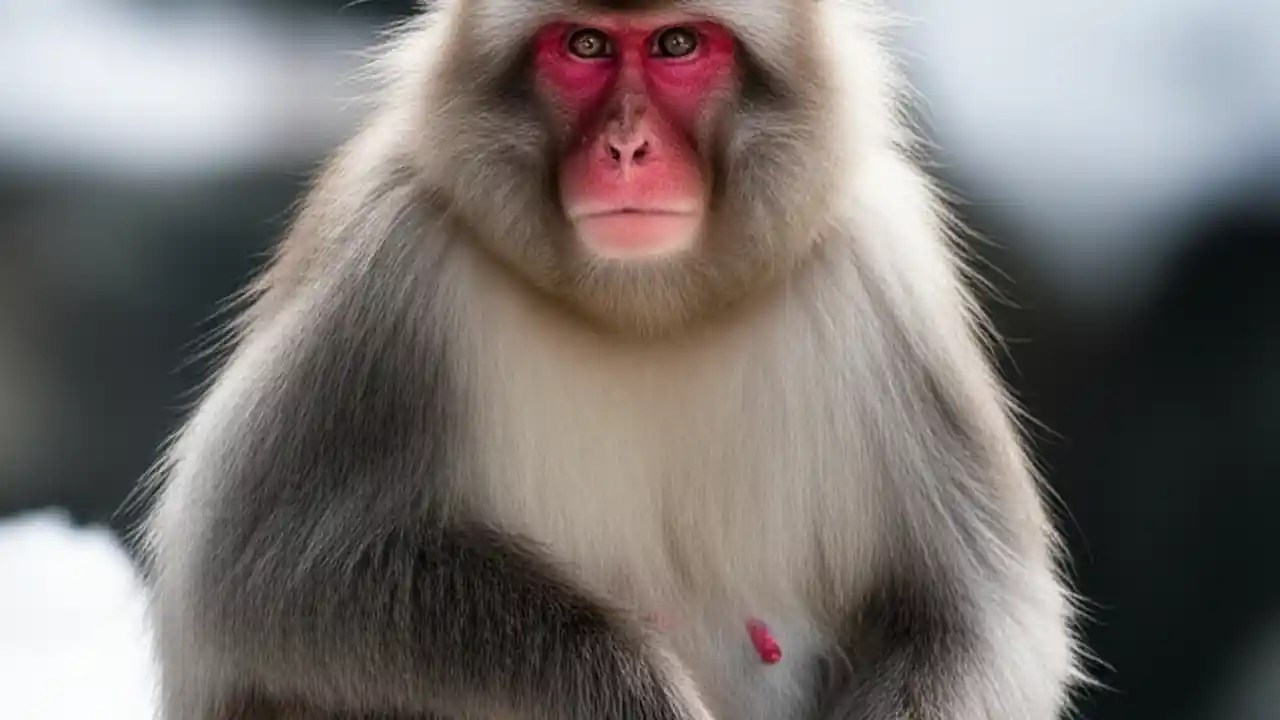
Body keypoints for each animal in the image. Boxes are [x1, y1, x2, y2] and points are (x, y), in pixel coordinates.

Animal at [140, 0, 1082, 718]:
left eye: (677, 45)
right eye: (585, 45)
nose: (627, 151)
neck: (646, 313)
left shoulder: (890, 284)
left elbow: (981, 622)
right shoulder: (386, 270)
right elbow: (254, 573)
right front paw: (632, 689)